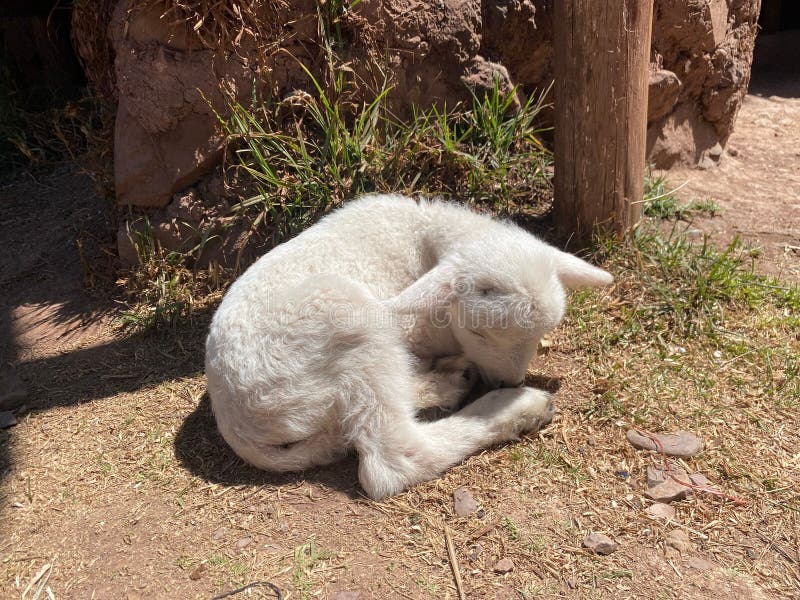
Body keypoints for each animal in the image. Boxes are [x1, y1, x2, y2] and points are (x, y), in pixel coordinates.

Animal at [205, 194, 612, 499]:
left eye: (541, 333)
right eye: (478, 333)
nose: (508, 382)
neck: (427, 236)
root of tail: (237, 423)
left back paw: (445, 383)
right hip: (346, 317)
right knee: (393, 459)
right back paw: (515, 408)